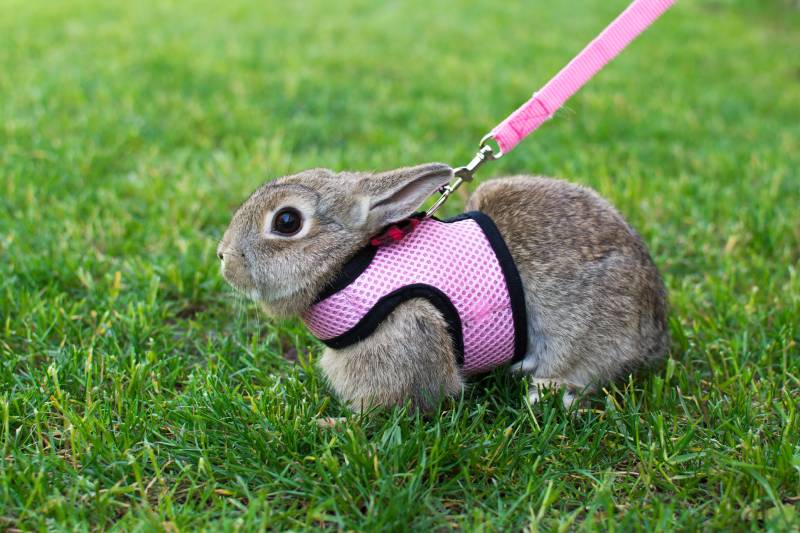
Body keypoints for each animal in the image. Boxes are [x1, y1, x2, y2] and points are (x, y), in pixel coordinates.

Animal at [217, 162, 669, 411]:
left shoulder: (409, 327)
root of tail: (656, 327)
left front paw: (332, 422)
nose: (223, 256)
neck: (349, 265)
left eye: (286, 221)